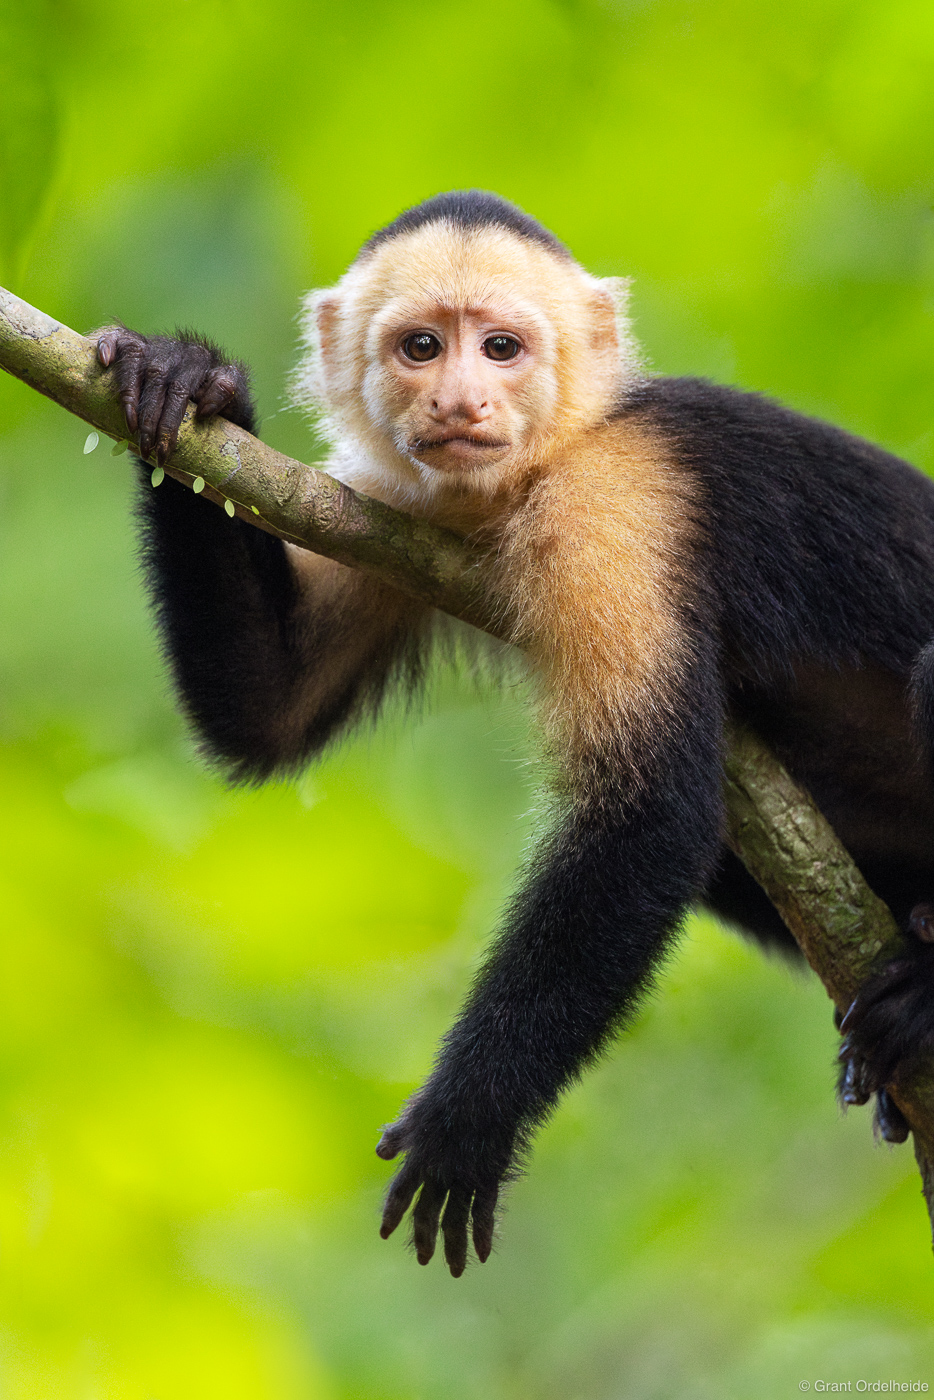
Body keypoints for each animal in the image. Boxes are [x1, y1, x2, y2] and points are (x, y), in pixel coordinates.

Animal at [96, 189, 934, 1277]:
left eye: (500, 348)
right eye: (420, 347)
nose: (458, 402)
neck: (542, 467)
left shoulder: (613, 503)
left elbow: (648, 817)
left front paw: (468, 1120)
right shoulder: (389, 505)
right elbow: (265, 713)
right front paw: (193, 383)